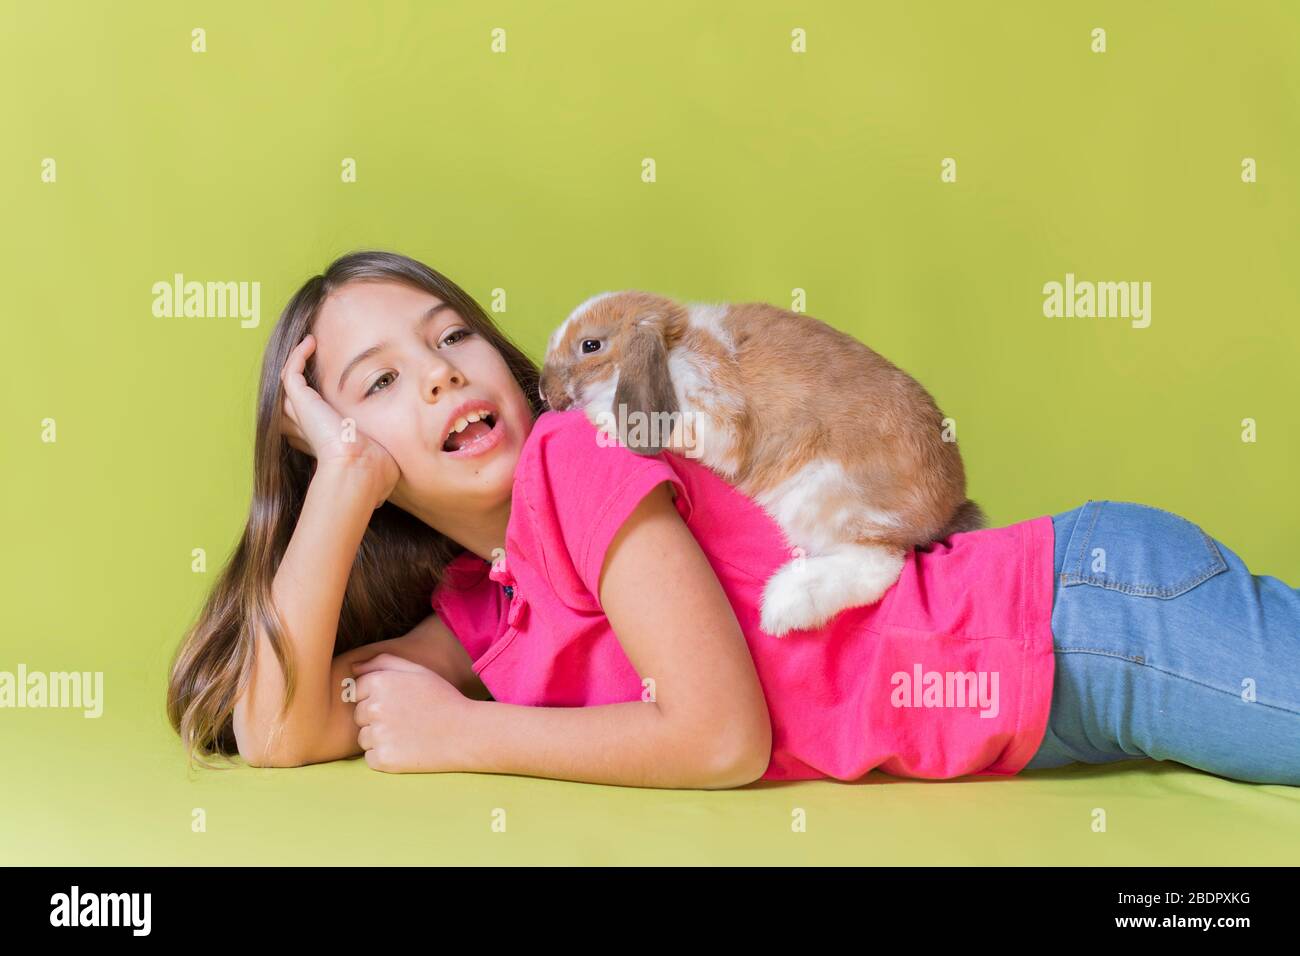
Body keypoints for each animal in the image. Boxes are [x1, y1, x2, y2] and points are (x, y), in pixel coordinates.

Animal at [537, 290, 986, 638]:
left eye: (590, 346)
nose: (543, 391)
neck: (674, 343)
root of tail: (947, 507)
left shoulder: (713, 418)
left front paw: (595, 413)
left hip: (823, 493)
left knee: (881, 562)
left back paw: (785, 606)